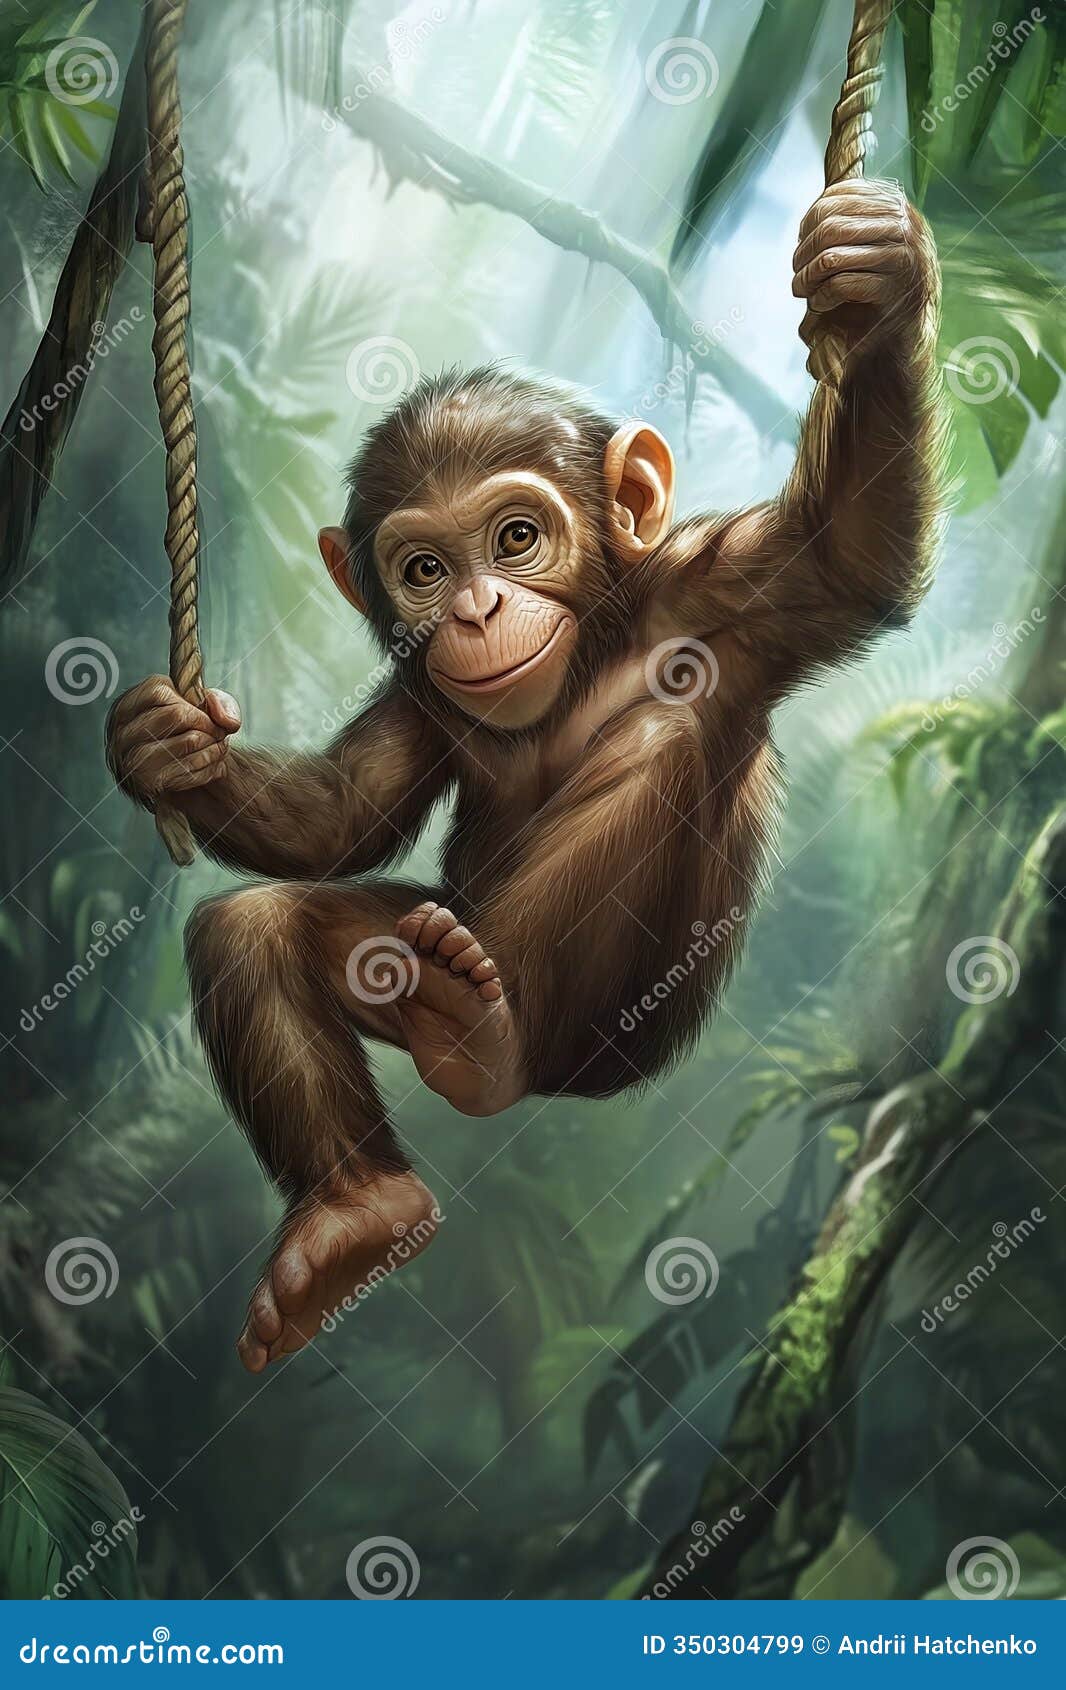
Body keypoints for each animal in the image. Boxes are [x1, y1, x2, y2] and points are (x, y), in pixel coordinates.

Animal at [107, 180, 943, 1372]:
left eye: (515, 537)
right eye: (423, 567)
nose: (475, 608)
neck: (588, 650)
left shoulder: (726, 587)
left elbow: (846, 554)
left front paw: (874, 280)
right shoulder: (418, 698)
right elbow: (340, 816)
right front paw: (165, 746)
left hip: (601, 1030)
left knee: (659, 746)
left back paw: (477, 1037)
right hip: (420, 937)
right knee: (261, 928)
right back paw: (354, 1215)